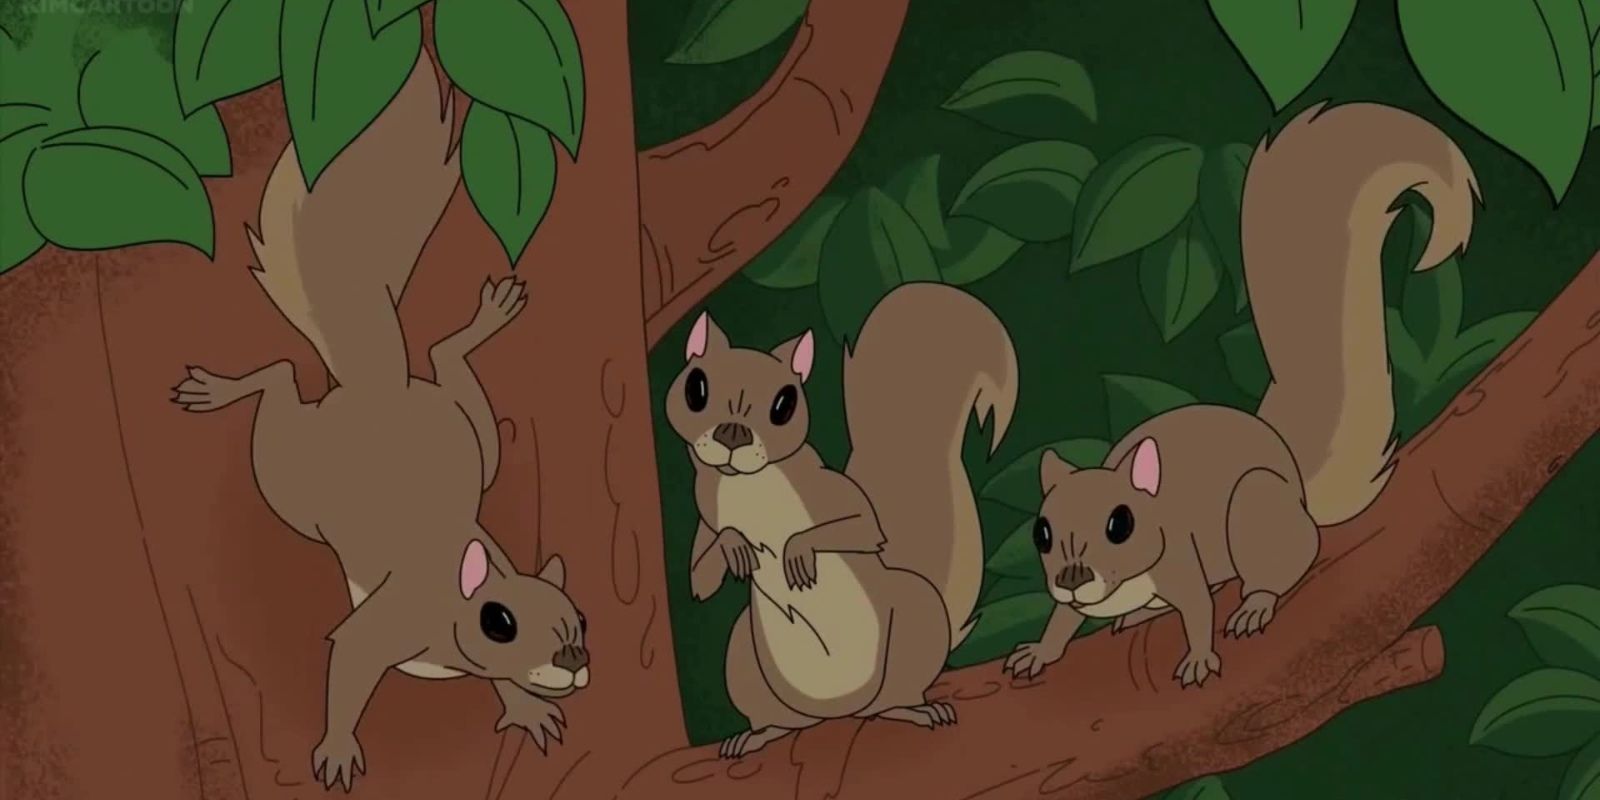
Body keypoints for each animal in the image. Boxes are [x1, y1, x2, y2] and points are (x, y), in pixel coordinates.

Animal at [169, 51, 589, 791]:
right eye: (499, 622)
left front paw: (525, 707)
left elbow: (497, 685)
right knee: (282, 377)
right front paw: (337, 750)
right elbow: (350, 656)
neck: (452, 591)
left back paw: (488, 319)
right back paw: (220, 390)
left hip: (471, 438)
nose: (569, 660)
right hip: (291, 479)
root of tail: (379, 385)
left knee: (439, 357)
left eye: (580, 623)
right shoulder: (385, 623)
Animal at [664, 282, 1019, 758]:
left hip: (914, 623)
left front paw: (797, 550)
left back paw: (913, 710)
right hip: (743, 657)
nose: (733, 432)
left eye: (784, 405)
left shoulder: (828, 491)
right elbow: (700, 577)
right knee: (783, 720)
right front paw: (736, 545)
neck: (749, 485)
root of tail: (838, 710)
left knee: (891, 701)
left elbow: (863, 526)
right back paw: (759, 735)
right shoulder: (707, 521)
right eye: (695, 389)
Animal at [1002, 102, 1480, 688]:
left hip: (1255, 509)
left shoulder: (1180, 562)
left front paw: (1200, 656)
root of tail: (1292, 475)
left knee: (1293, 557)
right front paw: (1040, 651)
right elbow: (1062, 619)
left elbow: (1198, 611)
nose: (1072, 575)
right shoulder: (1076, 601)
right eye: (1042, 533)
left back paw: (1256, 600)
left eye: (1120, 524)